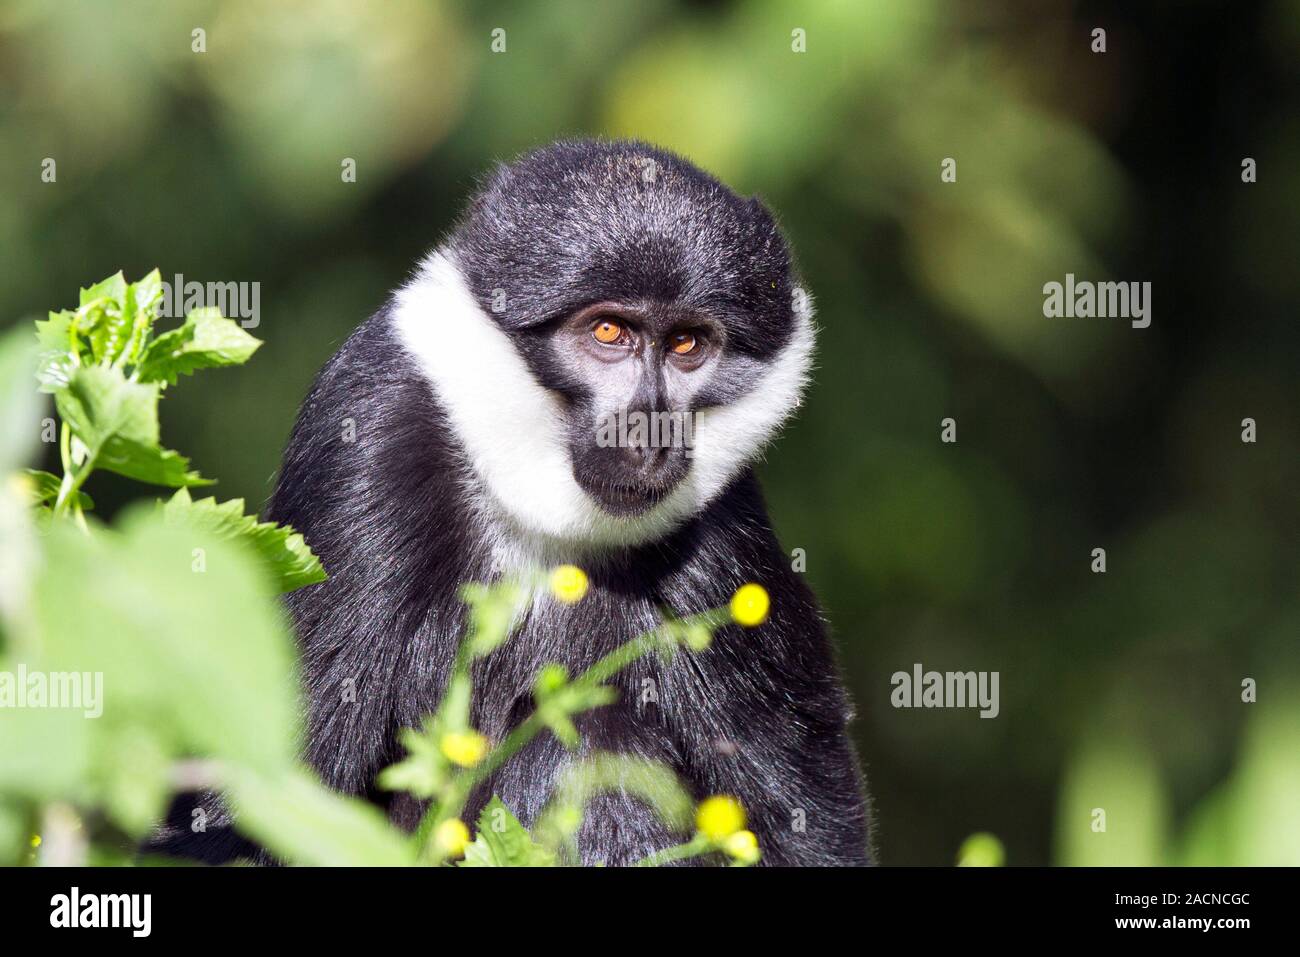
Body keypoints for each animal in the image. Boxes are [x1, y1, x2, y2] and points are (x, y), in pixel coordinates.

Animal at [154, 139, 871, 866]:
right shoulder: (367, 422)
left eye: (687, 344)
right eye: (608, 332)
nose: (650, 427)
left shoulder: (722, 529)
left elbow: (807, 818)